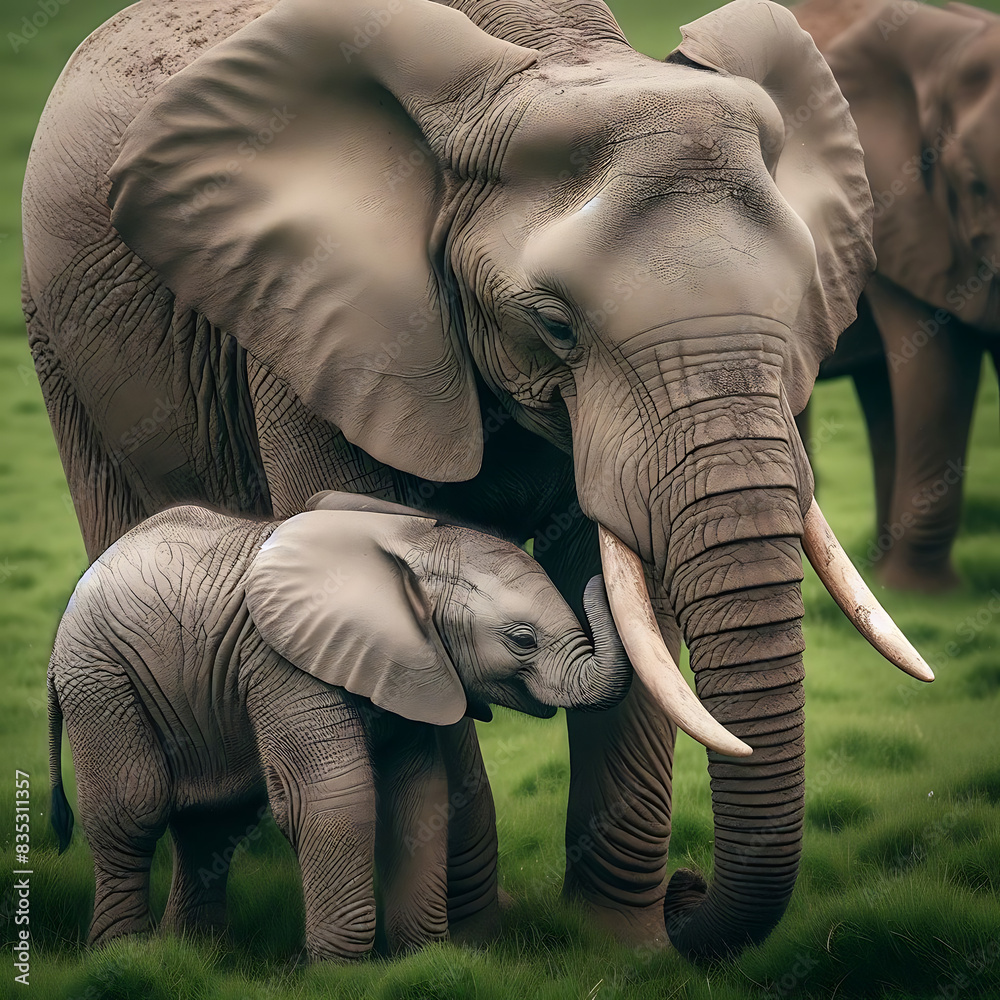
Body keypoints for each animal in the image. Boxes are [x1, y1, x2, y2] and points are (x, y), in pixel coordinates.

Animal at [47, 491, 632, 959]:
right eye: (522, 640)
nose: (599, 565)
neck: (414, 548)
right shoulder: (283, 663)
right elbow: (332, 798)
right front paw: (339, 971)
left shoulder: (407, 667)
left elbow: (418, 793)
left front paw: (421, 957)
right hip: (97, 672)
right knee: (134, 809)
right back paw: (125, 953)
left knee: (212, 821)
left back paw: (196, 953)